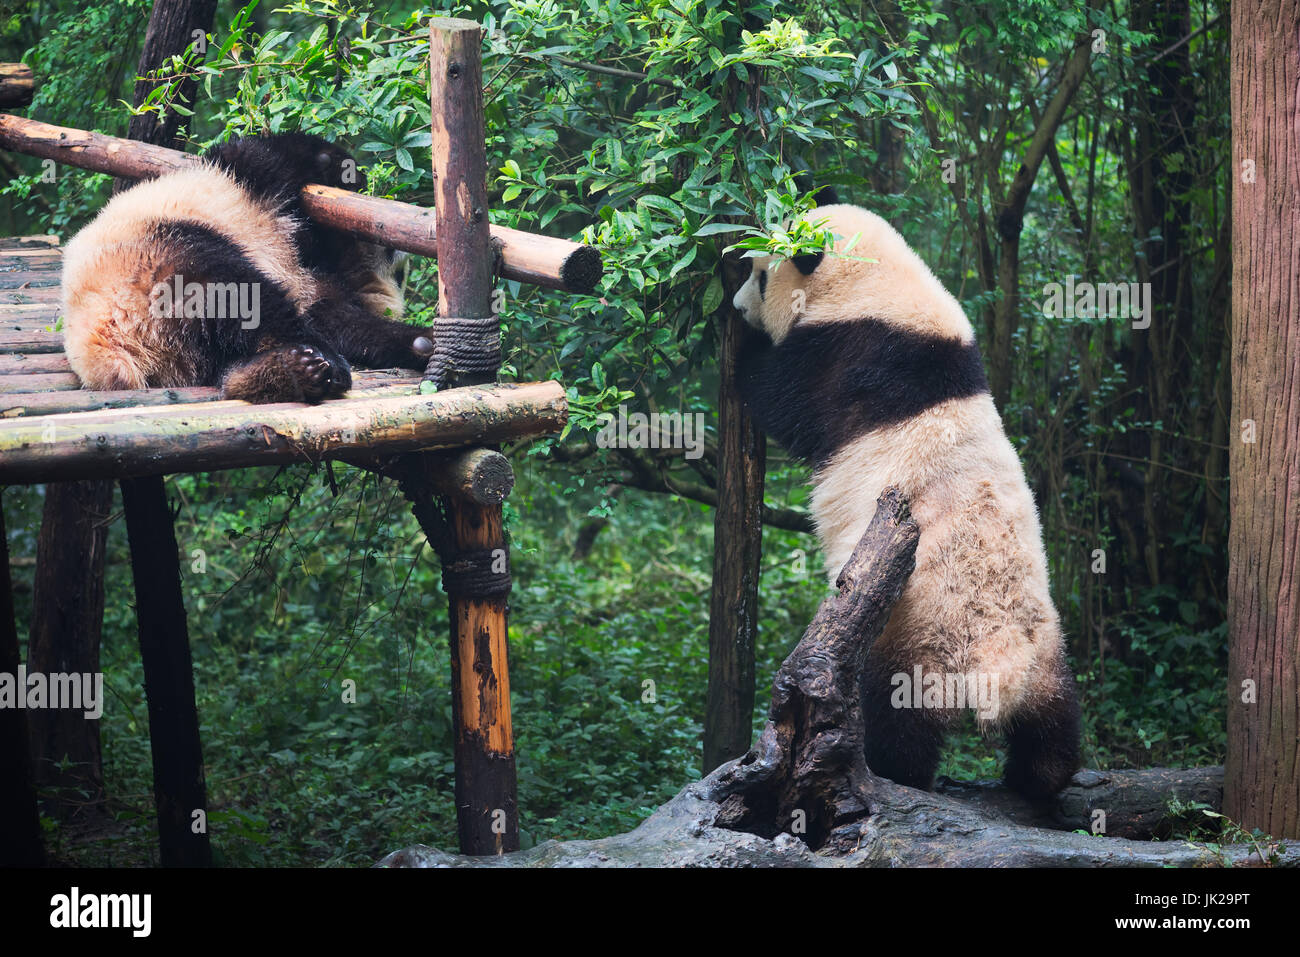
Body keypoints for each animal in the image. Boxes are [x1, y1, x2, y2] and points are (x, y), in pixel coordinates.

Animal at [60, 132, 434, 404]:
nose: (398, 257)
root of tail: (102, 346)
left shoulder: (322, 287)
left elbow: (344, 321)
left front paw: (420, 343)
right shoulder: (247, 179)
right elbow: (278, 155)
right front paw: (346, 169)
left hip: (179, 351)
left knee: (230, 353)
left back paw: (280, 374)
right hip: (162, 258)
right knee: (246, 296)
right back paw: (322, 366)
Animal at [733, 203, 1080, 799]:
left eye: (759, 276)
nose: (737, 304)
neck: (874, 288)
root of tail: (995, 661)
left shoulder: (845, 357)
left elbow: (778, 397)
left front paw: (734, 341)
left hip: (916, 635)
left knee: (897, 714)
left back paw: (894, 771)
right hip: (1043, 643)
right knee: (1052, 718)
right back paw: (1040, 778)